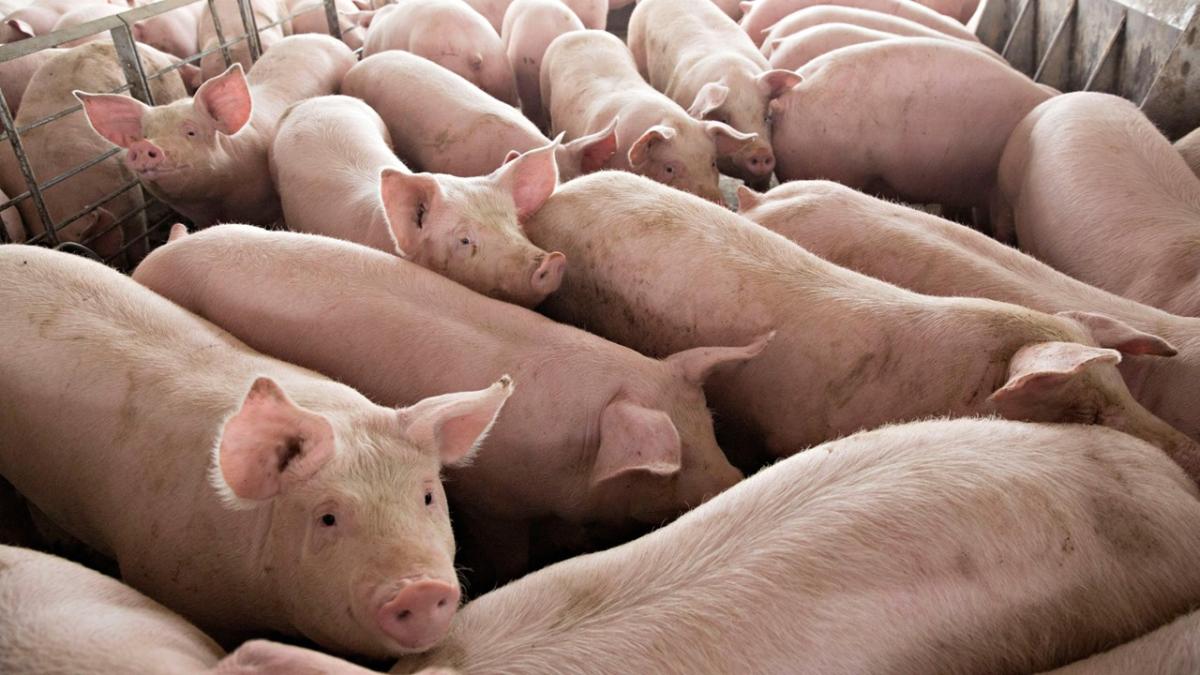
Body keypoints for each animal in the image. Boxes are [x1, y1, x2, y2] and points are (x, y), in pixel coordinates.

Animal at [134, 224, 751, 583]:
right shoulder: (494, 503)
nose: (737, 479)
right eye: (668, 464)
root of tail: (162, 246)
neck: (573, 455)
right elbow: (510, 556)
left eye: (710, 427)